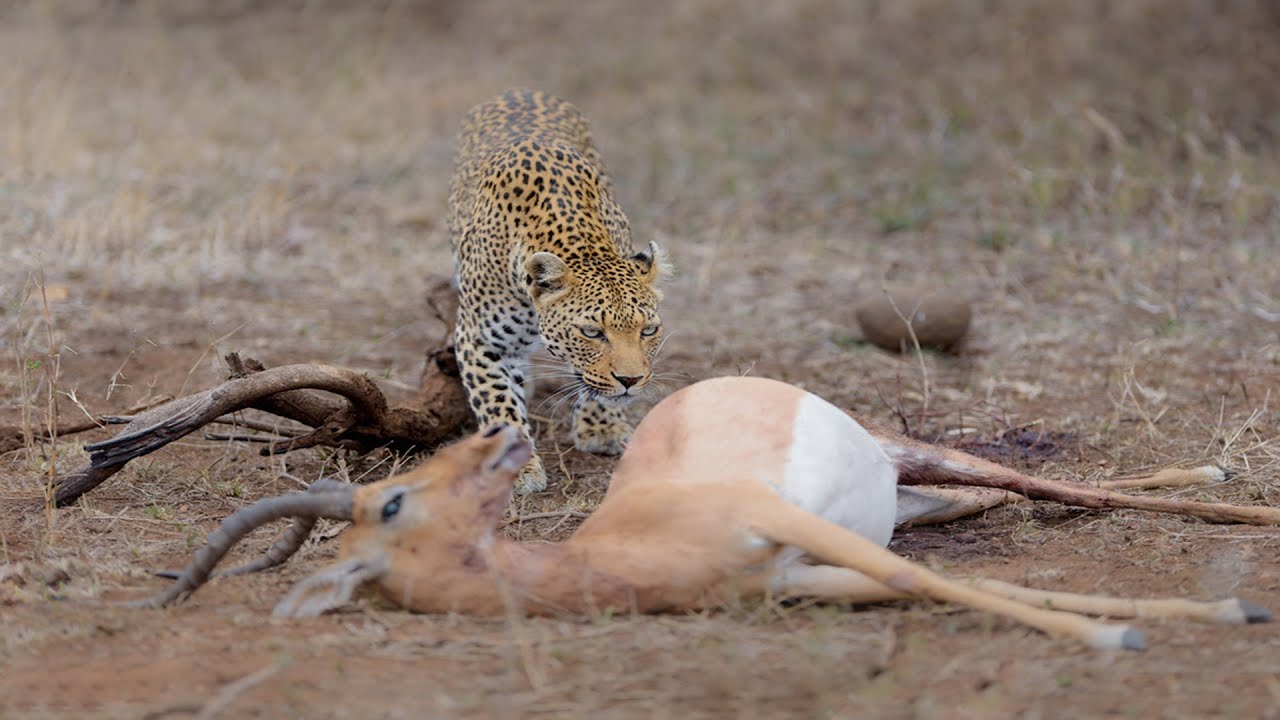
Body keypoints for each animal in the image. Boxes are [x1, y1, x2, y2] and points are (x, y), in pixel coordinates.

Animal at [446, 88, 670, 494]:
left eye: (648, 330)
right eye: (592, 332)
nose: (630, 382)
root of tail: (519, 89)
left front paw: (603, 428)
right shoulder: (478, 339)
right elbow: (499, 405)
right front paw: (515, 467)